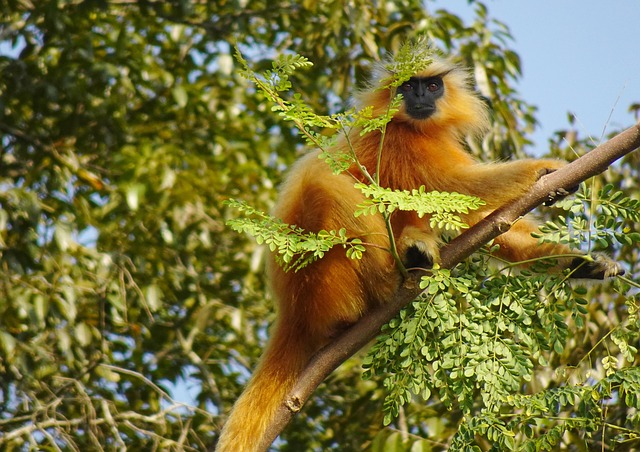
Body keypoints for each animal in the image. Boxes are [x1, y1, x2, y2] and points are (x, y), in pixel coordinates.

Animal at [216, 50, 623, 451]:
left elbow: (488, 222)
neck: (412, 125)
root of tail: (293, 311)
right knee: (323, 181)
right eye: (408, 86)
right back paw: (394, 278)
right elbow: (454, 185)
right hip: (321, 279)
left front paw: (579, 263)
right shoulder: (399, 140)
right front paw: (546, 170)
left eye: (431, 85)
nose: (420, 98)